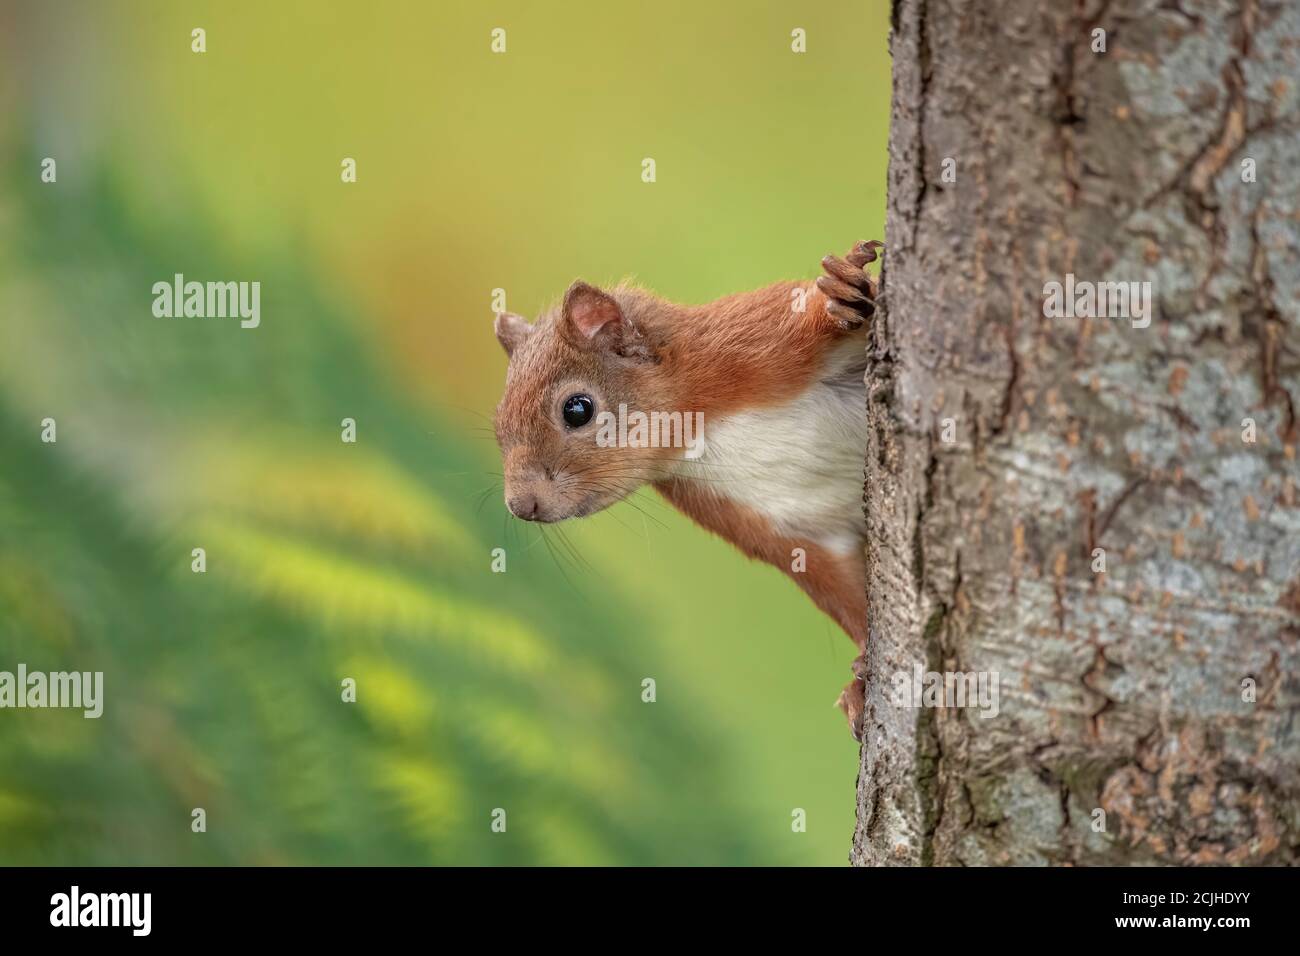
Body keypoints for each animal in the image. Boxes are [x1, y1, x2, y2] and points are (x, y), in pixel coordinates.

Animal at [493, 241, 881, 738]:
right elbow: (838, 584)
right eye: (499, 426)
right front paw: (861, 678)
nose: (522, 505)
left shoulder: (752, 340)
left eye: (577, 409)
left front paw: (839, 293)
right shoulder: (781, 527)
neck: (699, 427)